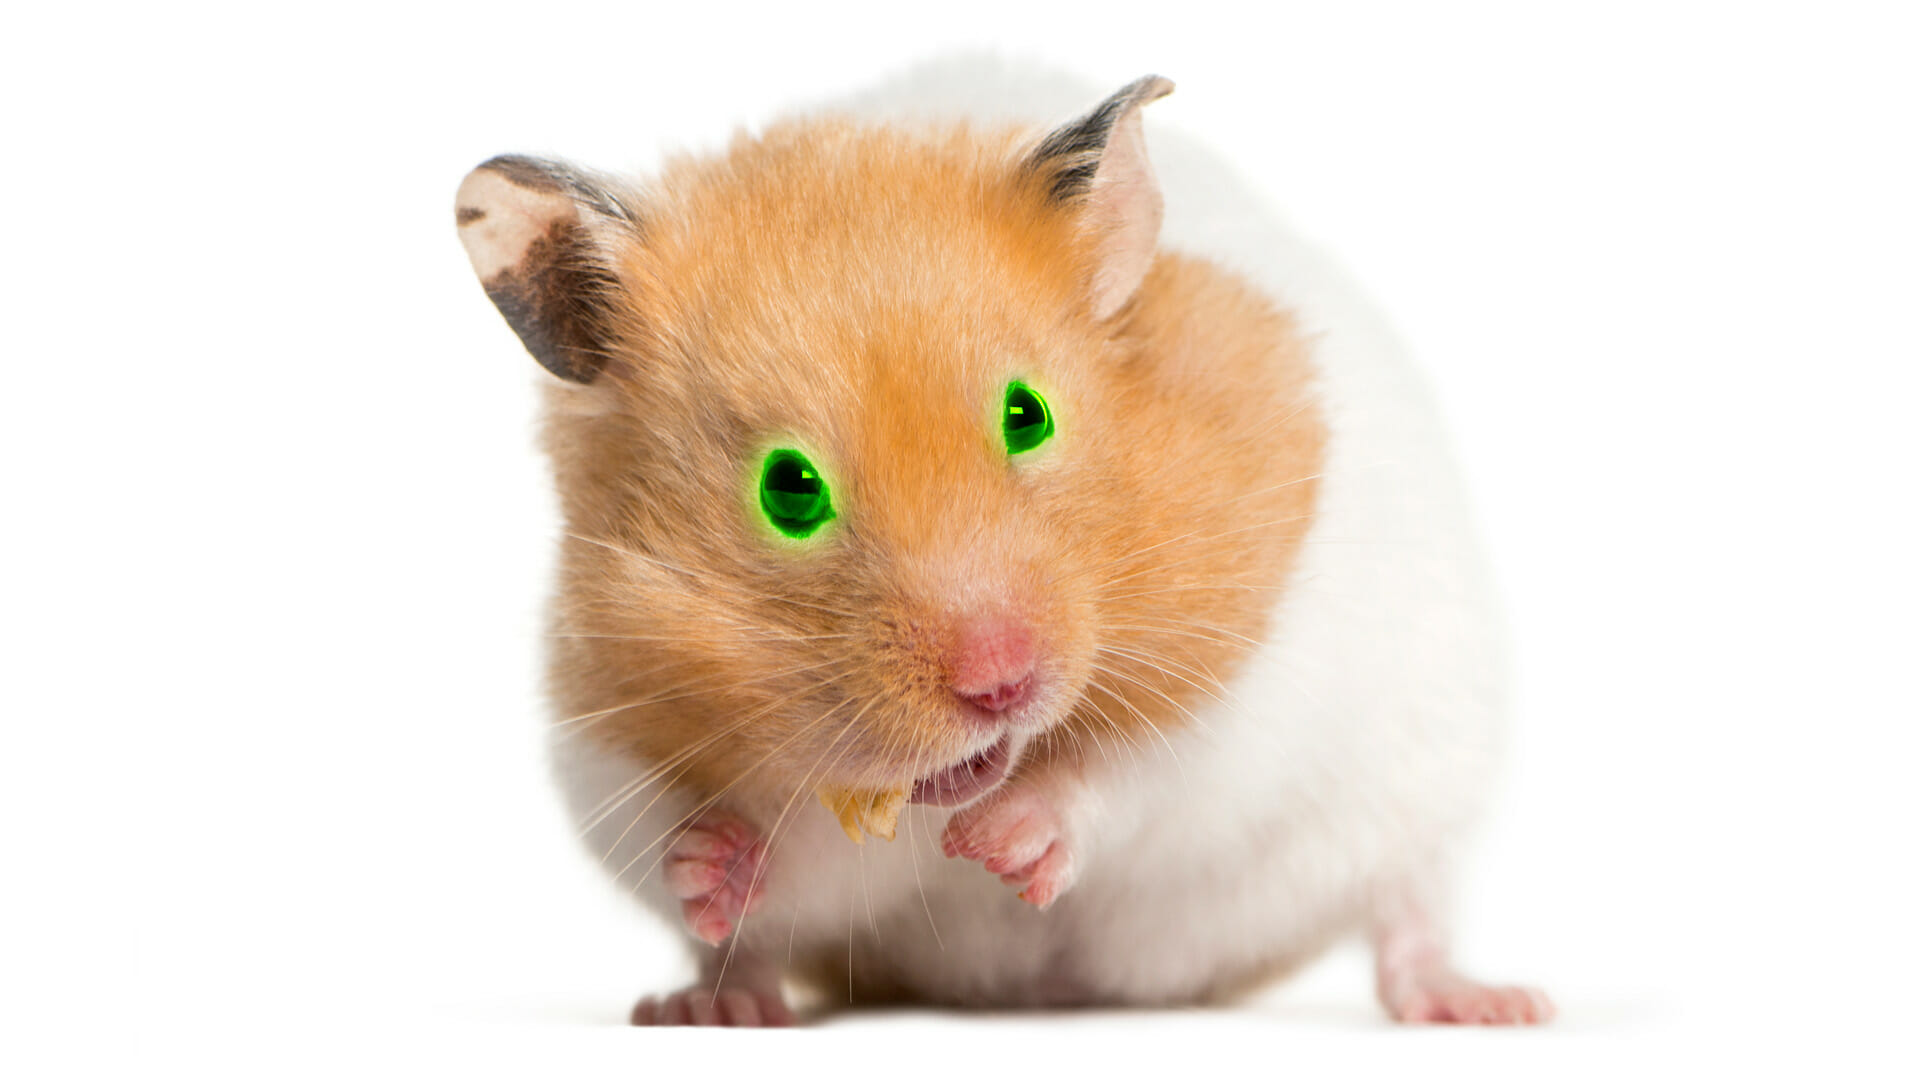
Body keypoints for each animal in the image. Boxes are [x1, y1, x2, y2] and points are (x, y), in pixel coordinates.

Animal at [453, 59, 1552, 1027]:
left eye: (1028, 415)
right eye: (787, 490)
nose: (999, 684)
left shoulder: (1251, 681)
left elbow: (1136, 774)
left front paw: (1003, 846)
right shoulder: (597, 722)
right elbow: (716, 843)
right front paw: (712, 860)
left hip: (1421, 774)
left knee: (1407, 906)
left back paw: (1485, 1005)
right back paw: (713, 1008)